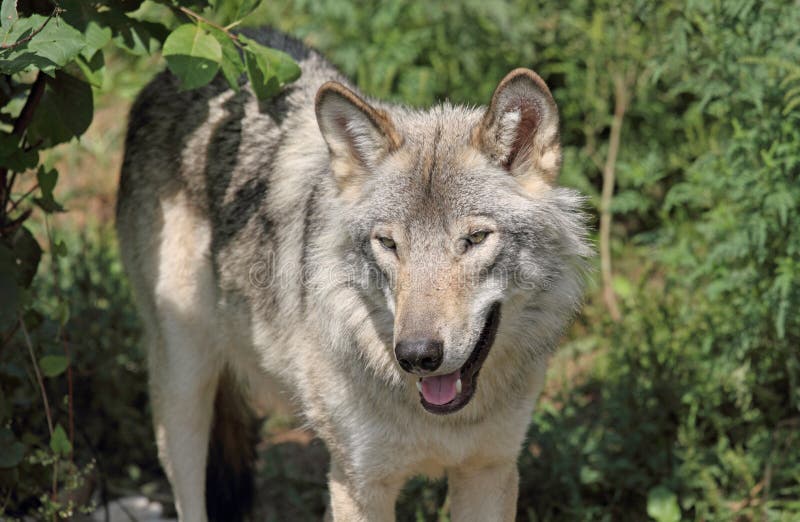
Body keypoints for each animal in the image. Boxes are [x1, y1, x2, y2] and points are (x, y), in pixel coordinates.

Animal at [116, 28, 591, 521]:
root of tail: (187, 66)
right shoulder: (360, 483)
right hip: (184, 389)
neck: (436, 416)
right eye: (389, 244)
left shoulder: (489, 472)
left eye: (475, 238)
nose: (417, 355)